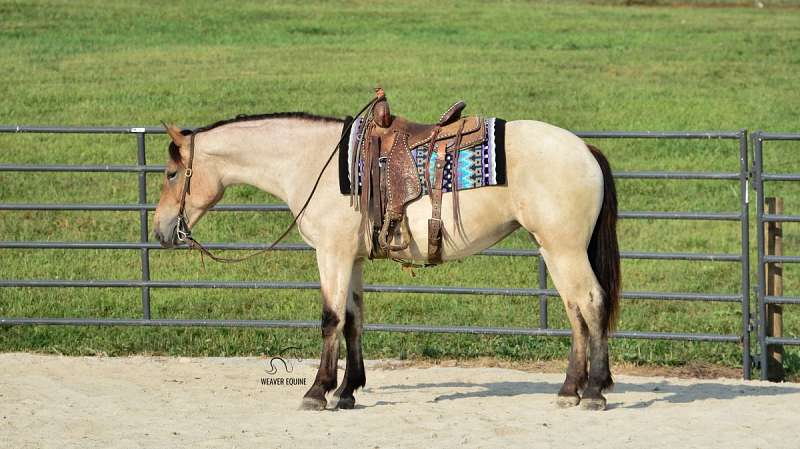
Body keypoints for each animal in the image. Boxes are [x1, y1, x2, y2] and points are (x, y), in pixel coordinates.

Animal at [153, 109, 620, 411]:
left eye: (172, 174)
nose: (160, 231)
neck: (313, 162)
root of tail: (584, 149)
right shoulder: (353, 258)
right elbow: (353, 320)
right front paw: (347, 392)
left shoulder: (332, 253)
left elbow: (330, 319)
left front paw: (317, 392)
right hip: (554, 250)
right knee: (575, 310)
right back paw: (570, 389)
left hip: (564, 248)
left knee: (591, 304)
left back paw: (594, 392)